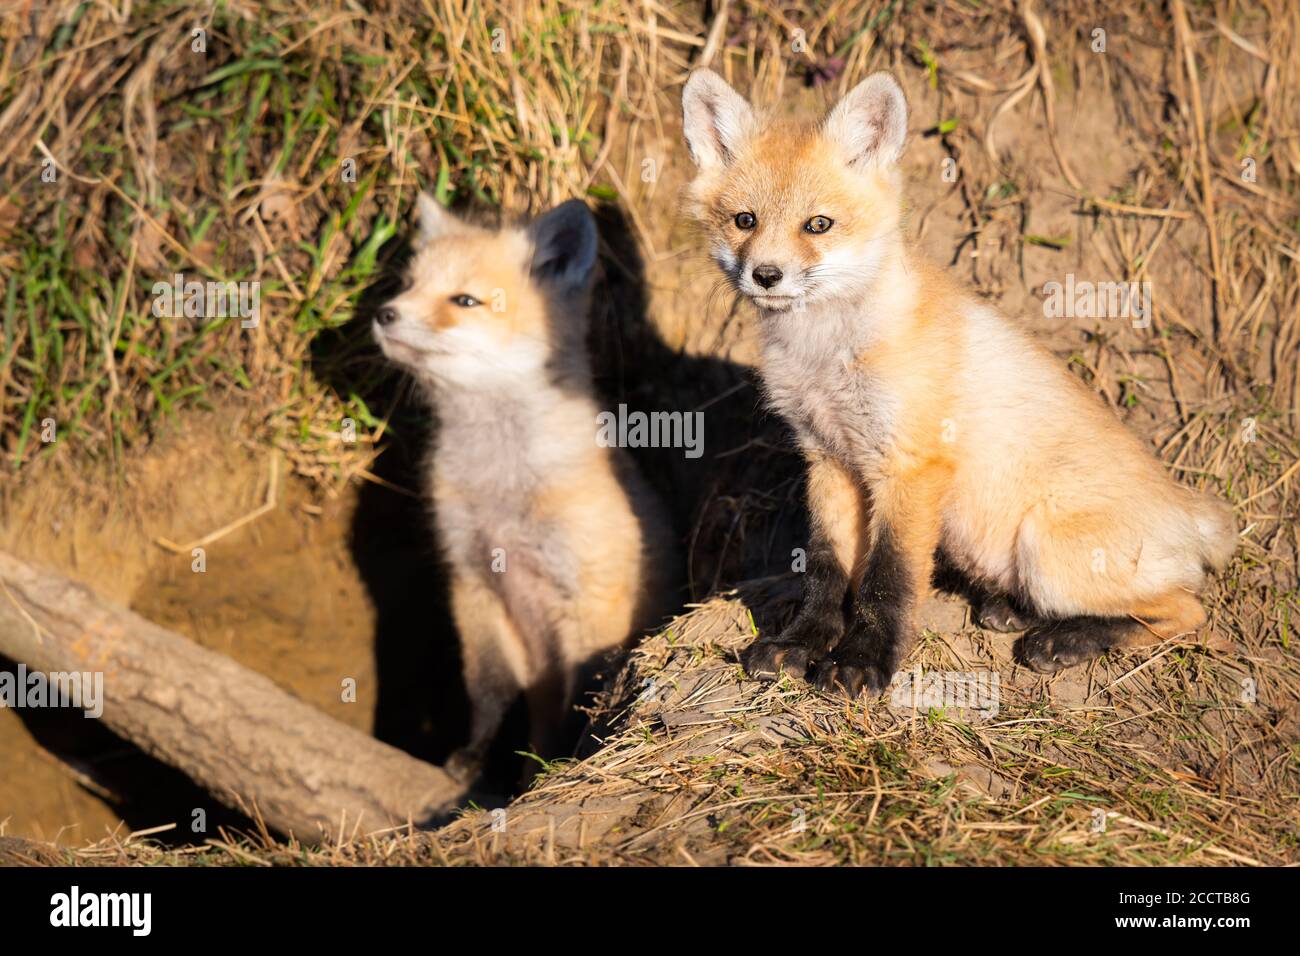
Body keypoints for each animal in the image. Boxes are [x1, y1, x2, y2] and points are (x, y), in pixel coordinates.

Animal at [373, 195, 675, 778]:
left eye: (464, 300)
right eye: (409, 284)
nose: (384, 313)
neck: (502, 489)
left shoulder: (593, 598)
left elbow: (587, 696)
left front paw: (564, 764)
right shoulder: (474, 584)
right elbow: (487, 692)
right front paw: (475, 758)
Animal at [680, 69, 1237, 698]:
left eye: (817, 225)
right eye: (744, 221)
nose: (766, 275)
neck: (825, 356)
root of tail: (1190, 509)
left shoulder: (911, 466)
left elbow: (888, 580)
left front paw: (862, 663)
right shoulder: (828, 460)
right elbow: (826, 570)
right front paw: (800, 644)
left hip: (1048, 549)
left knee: (1187, 611)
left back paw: (1068, 640)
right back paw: (1014, 611)